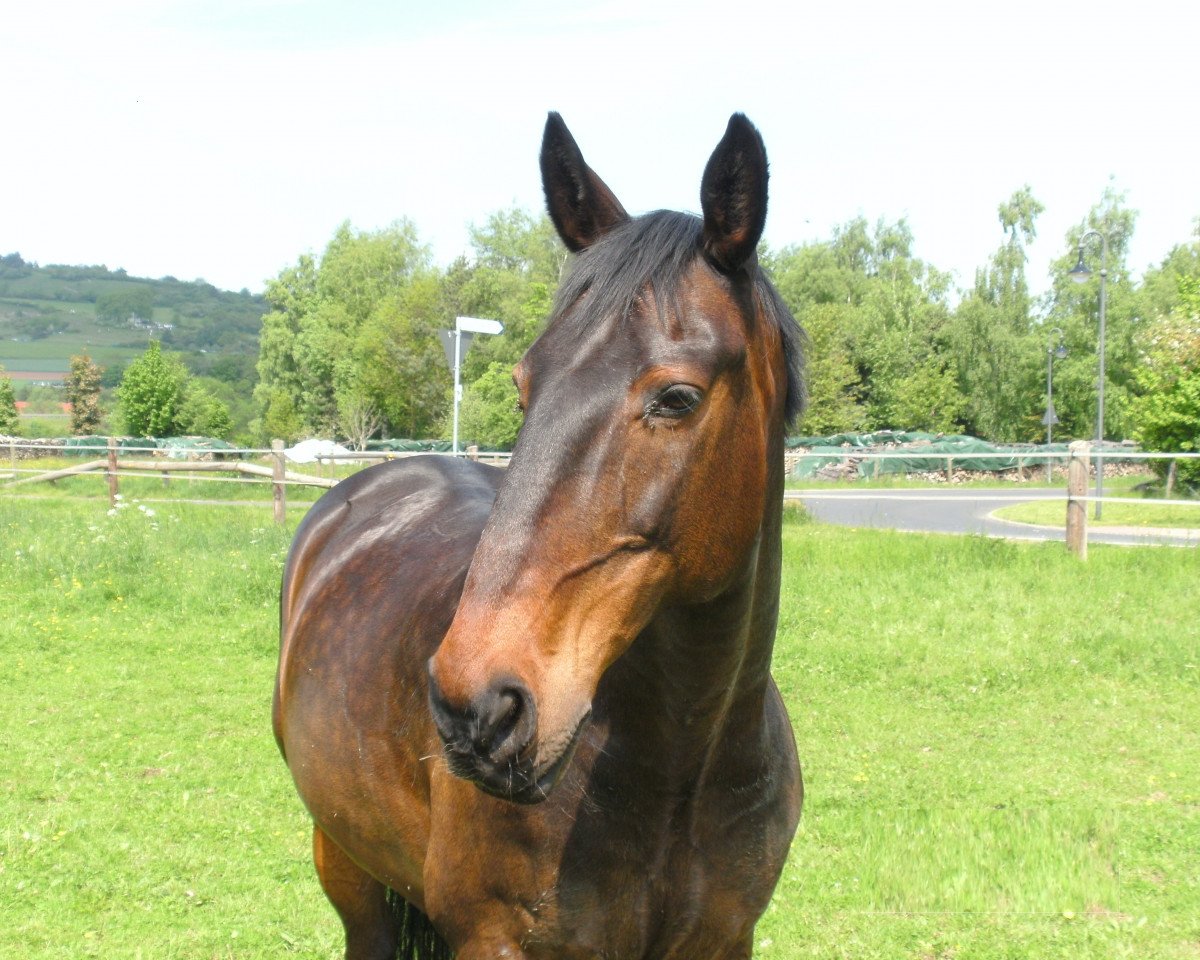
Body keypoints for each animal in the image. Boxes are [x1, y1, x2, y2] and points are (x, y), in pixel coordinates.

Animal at [273, 112, 805, 960]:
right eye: (525, 386)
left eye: (677, 398)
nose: (477, 707)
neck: (678, 774)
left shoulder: (726, 939)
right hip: (347, 867)